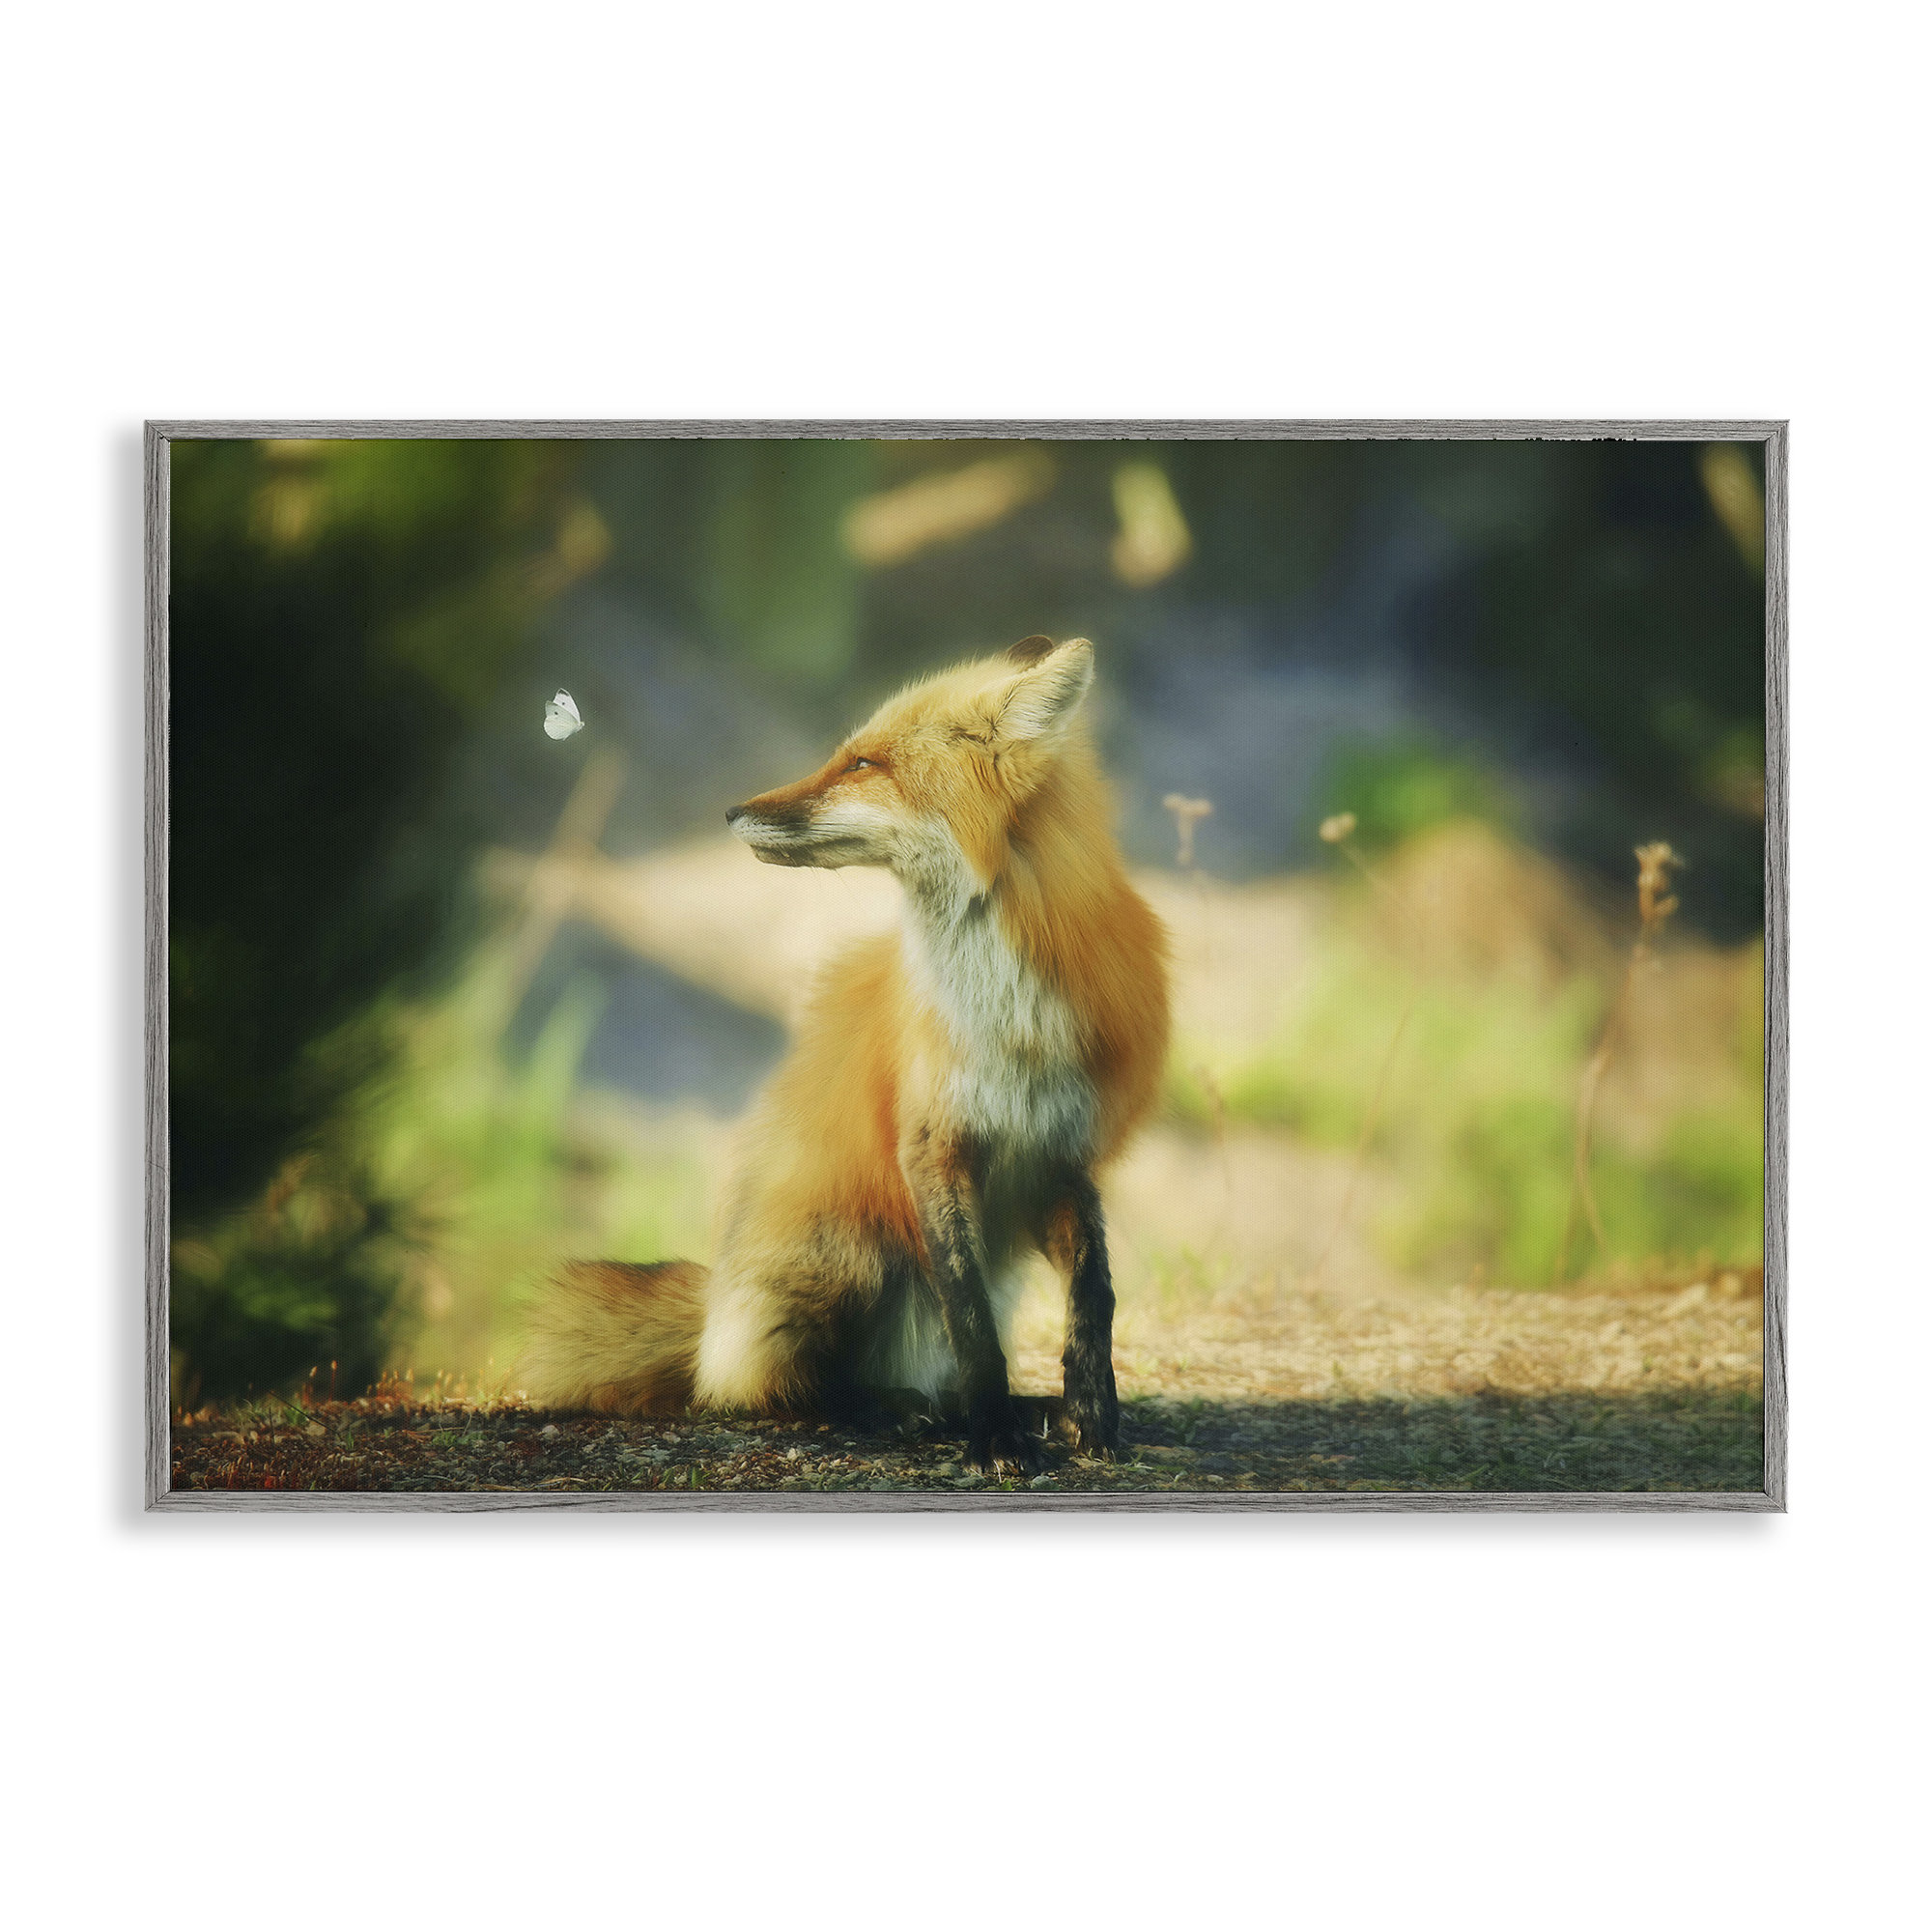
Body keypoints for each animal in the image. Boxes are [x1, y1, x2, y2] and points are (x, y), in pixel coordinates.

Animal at [517, 635, 1170, 1472]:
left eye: (863, 764)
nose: (730, 811)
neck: (1006, 1016)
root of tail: (714, 1316)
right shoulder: (929, 1144)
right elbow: (970, 1321)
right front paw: (995, 1436)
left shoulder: (1062, 1150)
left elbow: (1095, 1293)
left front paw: (1090, 1411)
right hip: (853, 1248)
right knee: (782, 1388)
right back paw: (892, 1408)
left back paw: (1002, 1408)